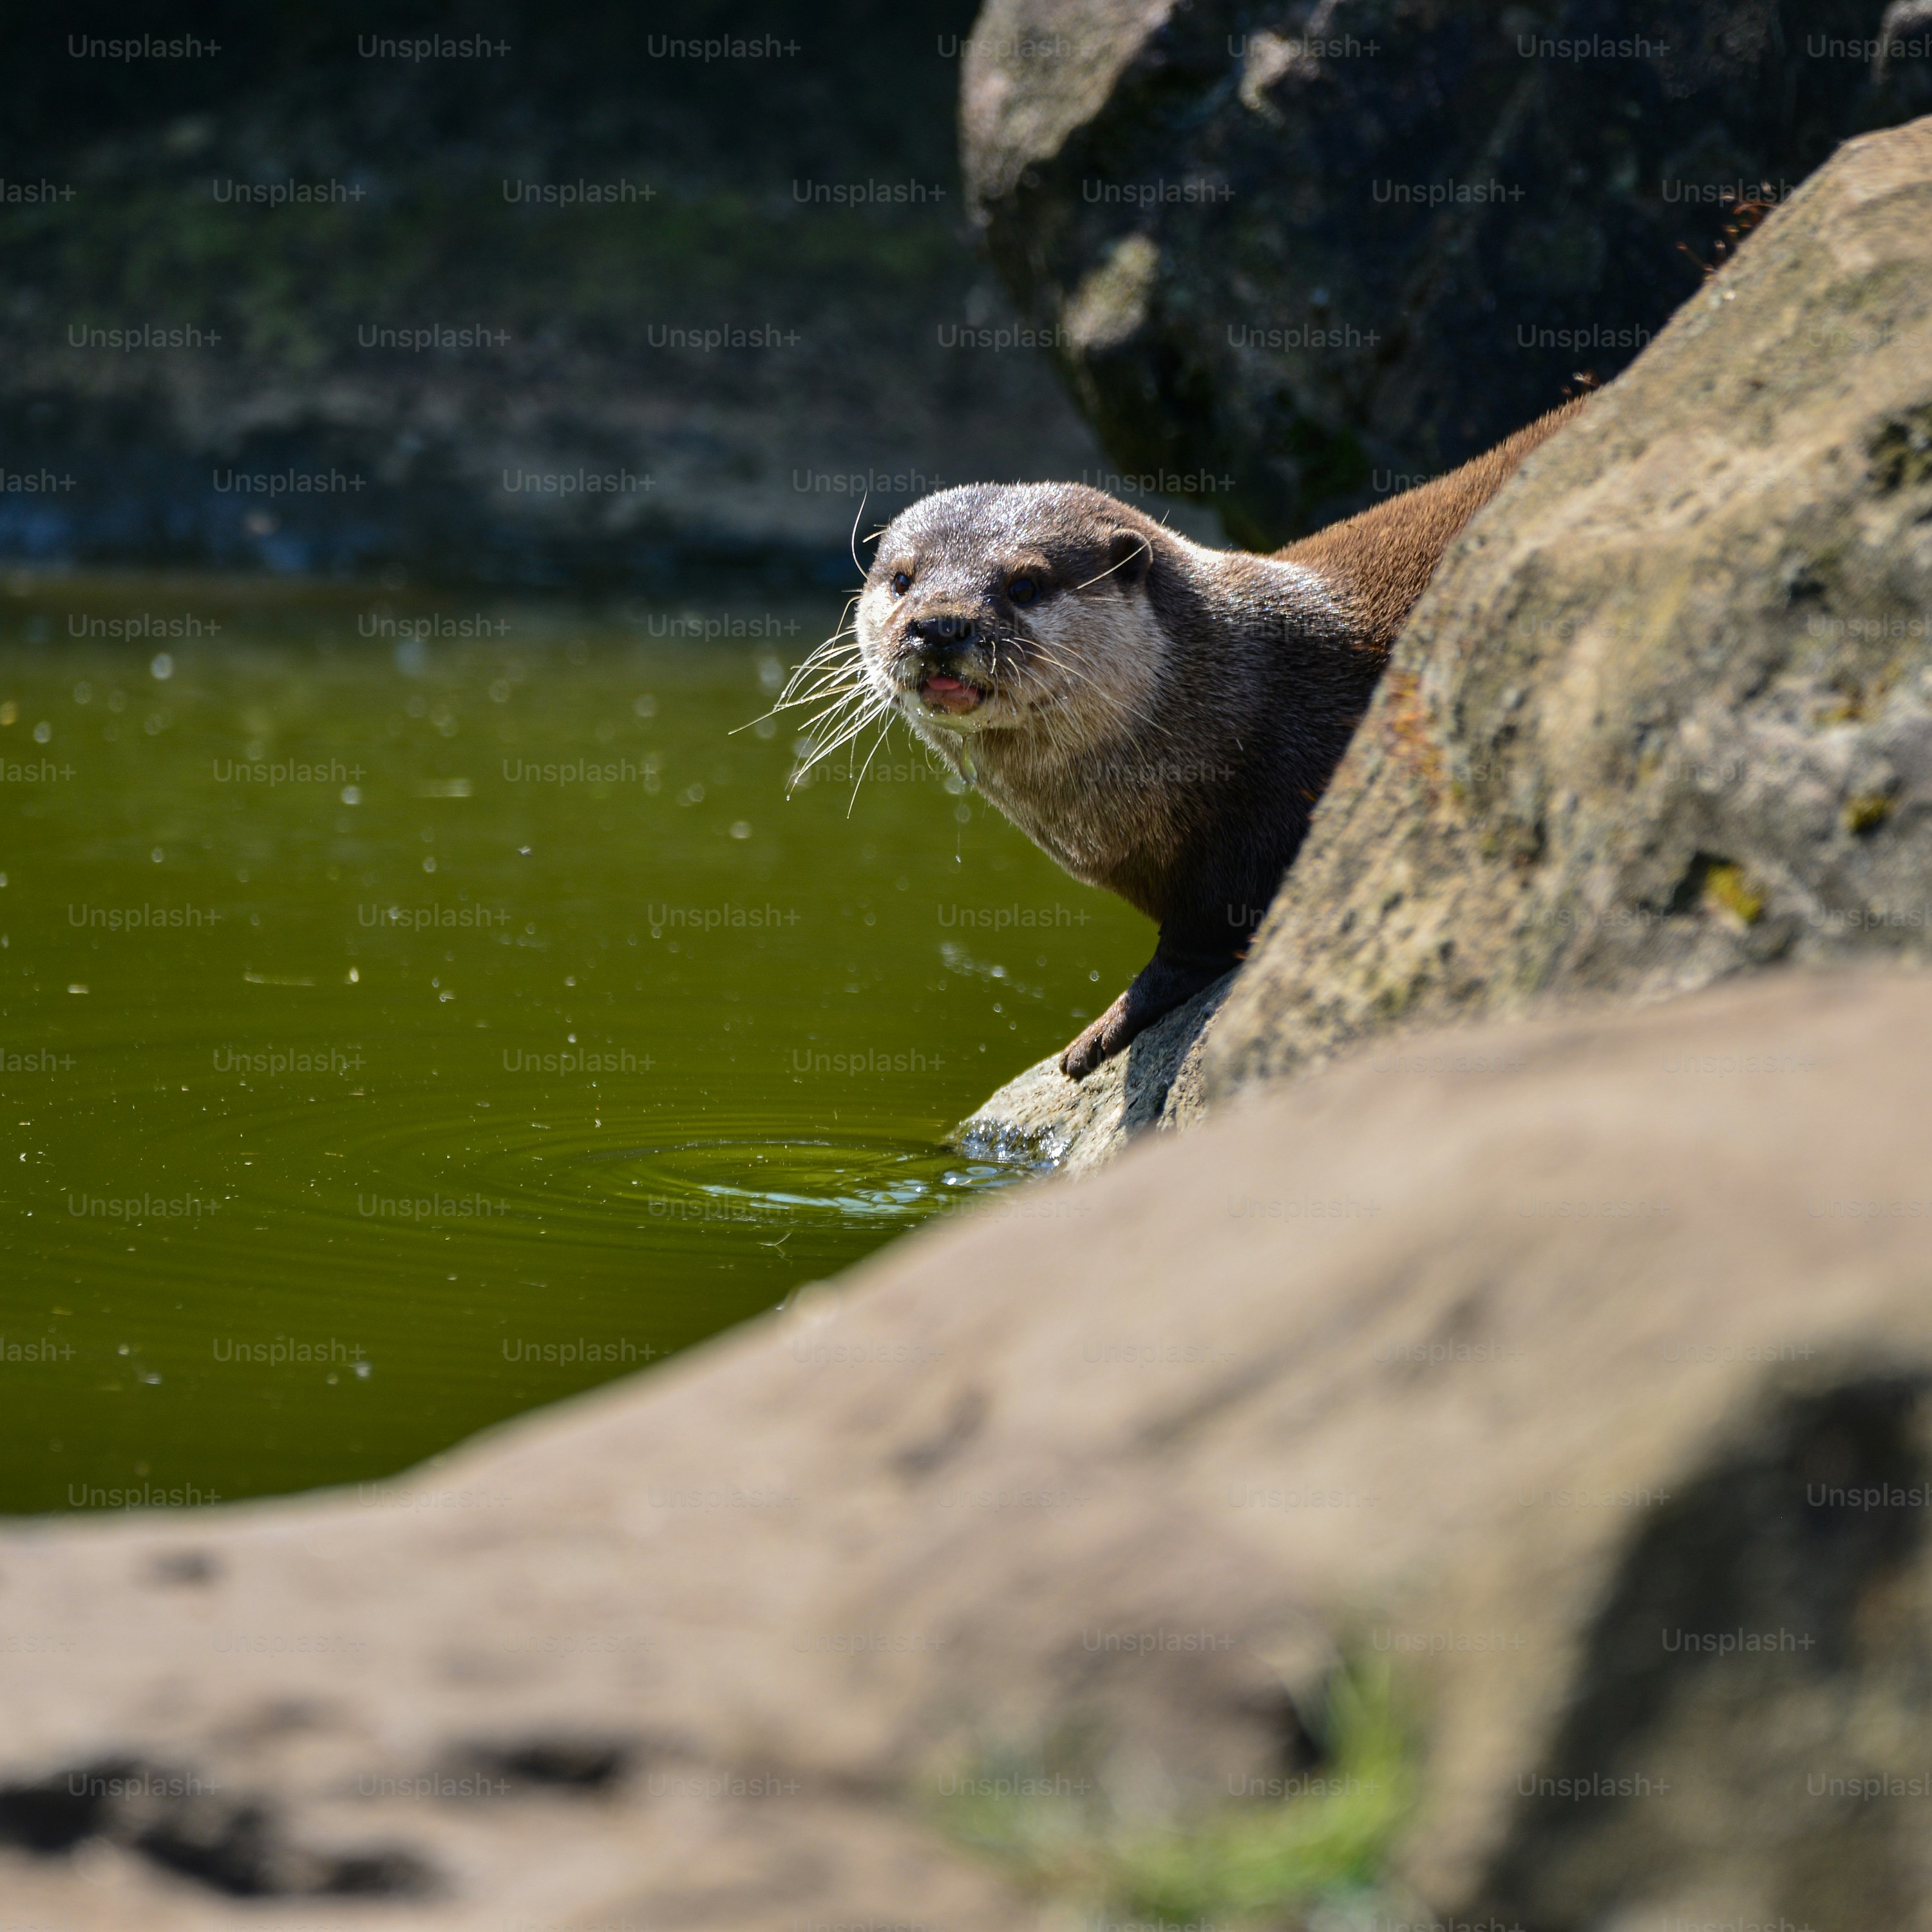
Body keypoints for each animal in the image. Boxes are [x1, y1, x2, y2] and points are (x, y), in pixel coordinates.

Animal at [784, 397, 1586, 1080]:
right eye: (901, 579)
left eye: (1026, 585)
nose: (939, 625)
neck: (1235, 695)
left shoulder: (1262, 821)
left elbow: (1203, 936)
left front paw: (1107, 1025)